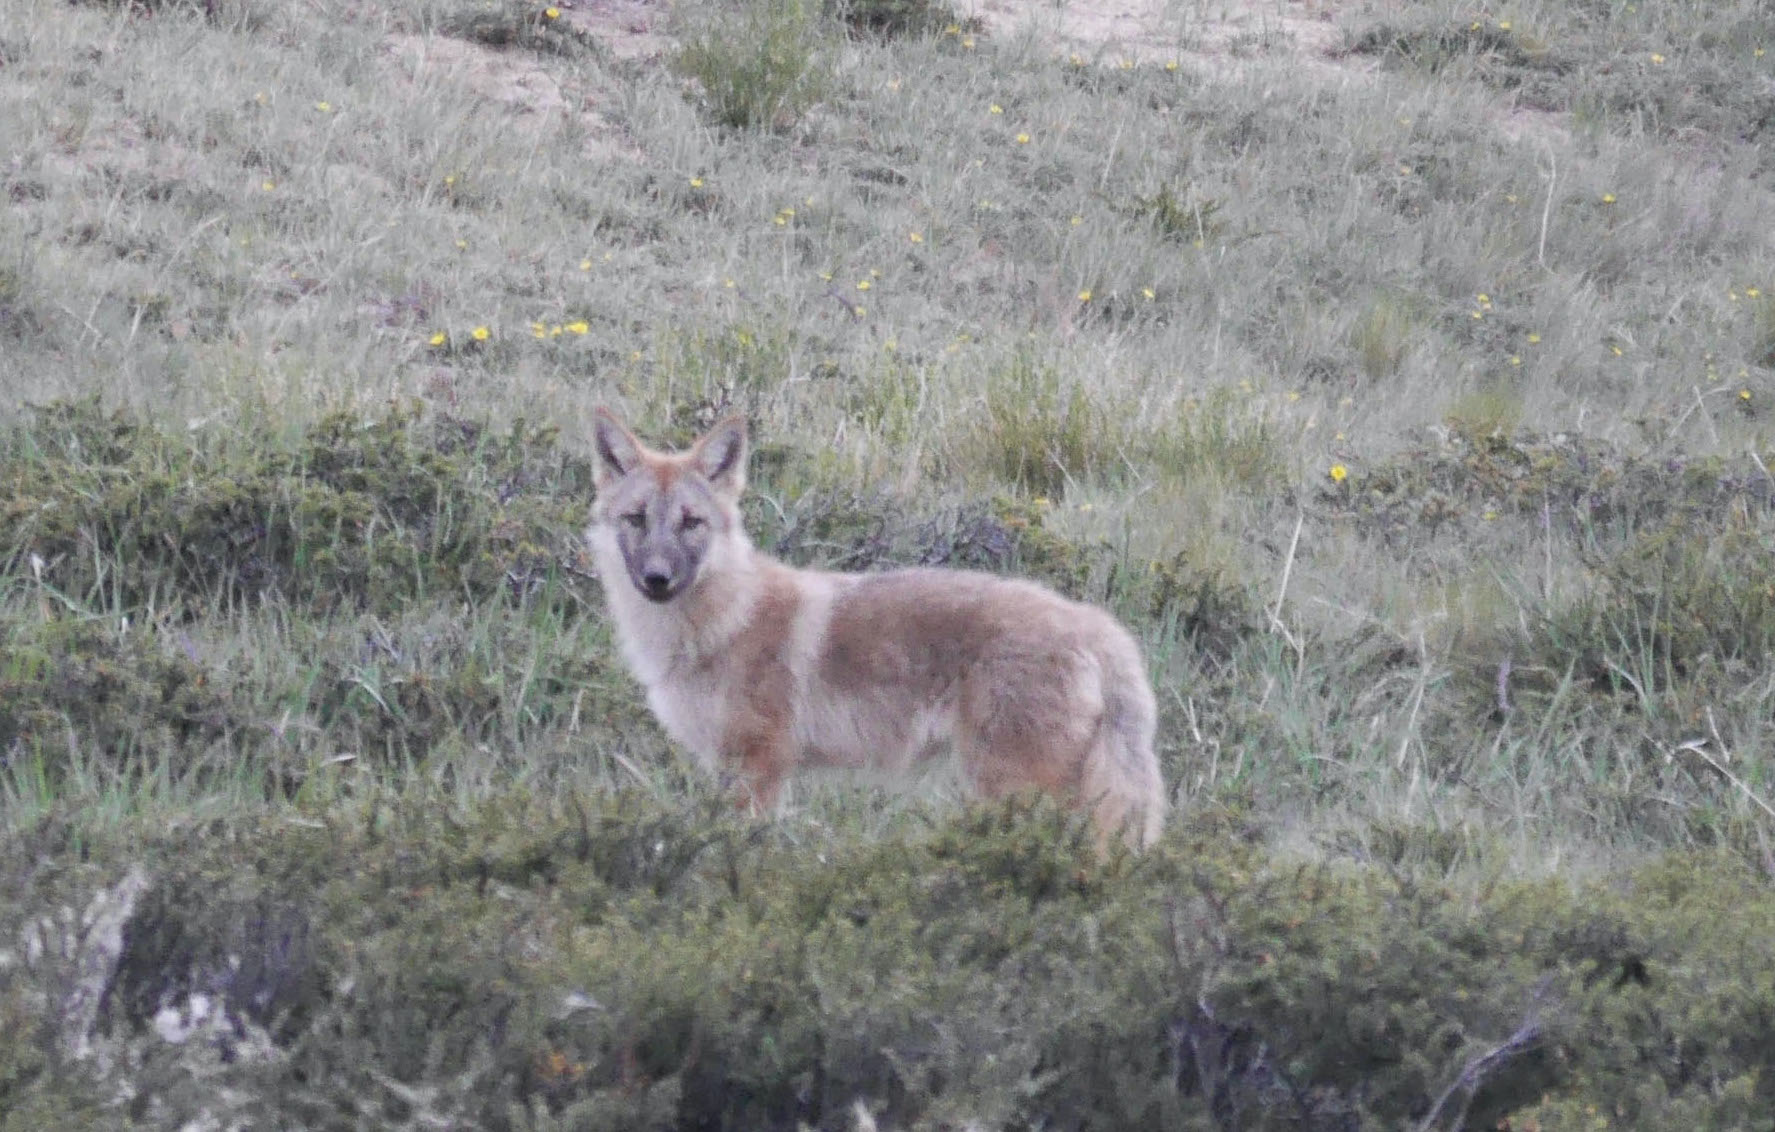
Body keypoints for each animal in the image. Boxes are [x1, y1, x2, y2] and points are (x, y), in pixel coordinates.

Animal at [584, 409, 1165, 851]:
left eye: (690, 523)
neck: (720, 623)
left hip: (1013, 791)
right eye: (636, 519)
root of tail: (1097, 626)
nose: (657, 579)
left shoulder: (759, 771)